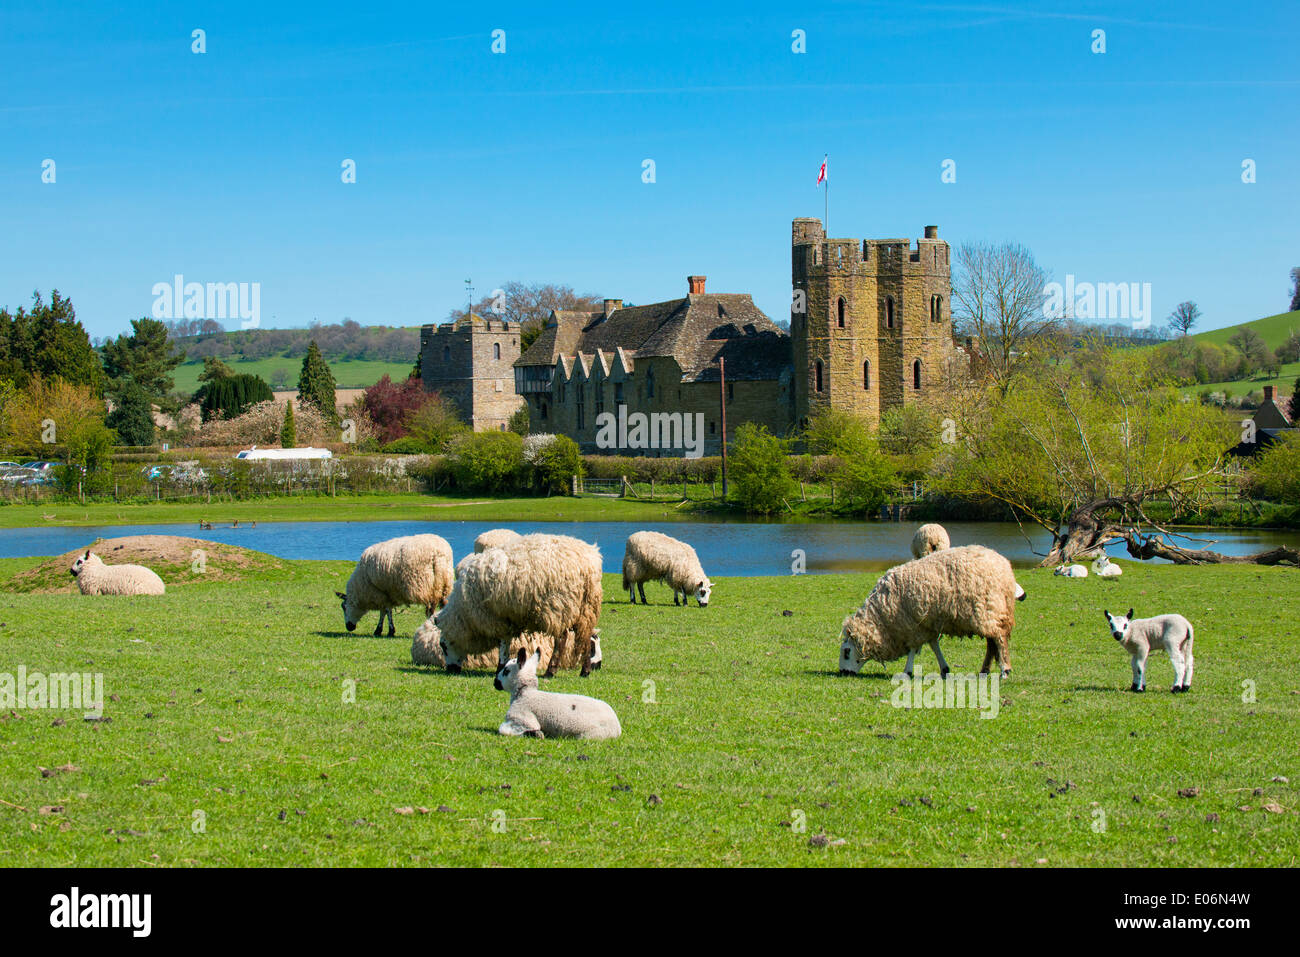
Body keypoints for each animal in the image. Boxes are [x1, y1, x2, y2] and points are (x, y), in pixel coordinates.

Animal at [423, 533, 603, 677]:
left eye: (443, 645)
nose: (450, 670)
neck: (465, 614)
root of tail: (589, 563)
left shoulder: (496, 618)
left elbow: (503, 644)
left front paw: (500, 667)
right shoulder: (507, 618)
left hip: (559, 606)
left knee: (562, 639)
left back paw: (550, 671)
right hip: (584, 608)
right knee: (585, 636)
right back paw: (584, 671)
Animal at [838, 545, 1024, 679]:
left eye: (846, 652)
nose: (843, 673)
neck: (882, 618)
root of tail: (1005, 567)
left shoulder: (912, 625)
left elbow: (914, 648)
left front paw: (907, 671)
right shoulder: (926, 625)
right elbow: (934, 645)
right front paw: (944, 669)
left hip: (988, 610)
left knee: (999, 639)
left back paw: (1005, 670)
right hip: (990, 613)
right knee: (992, 643)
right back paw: (984, 671)